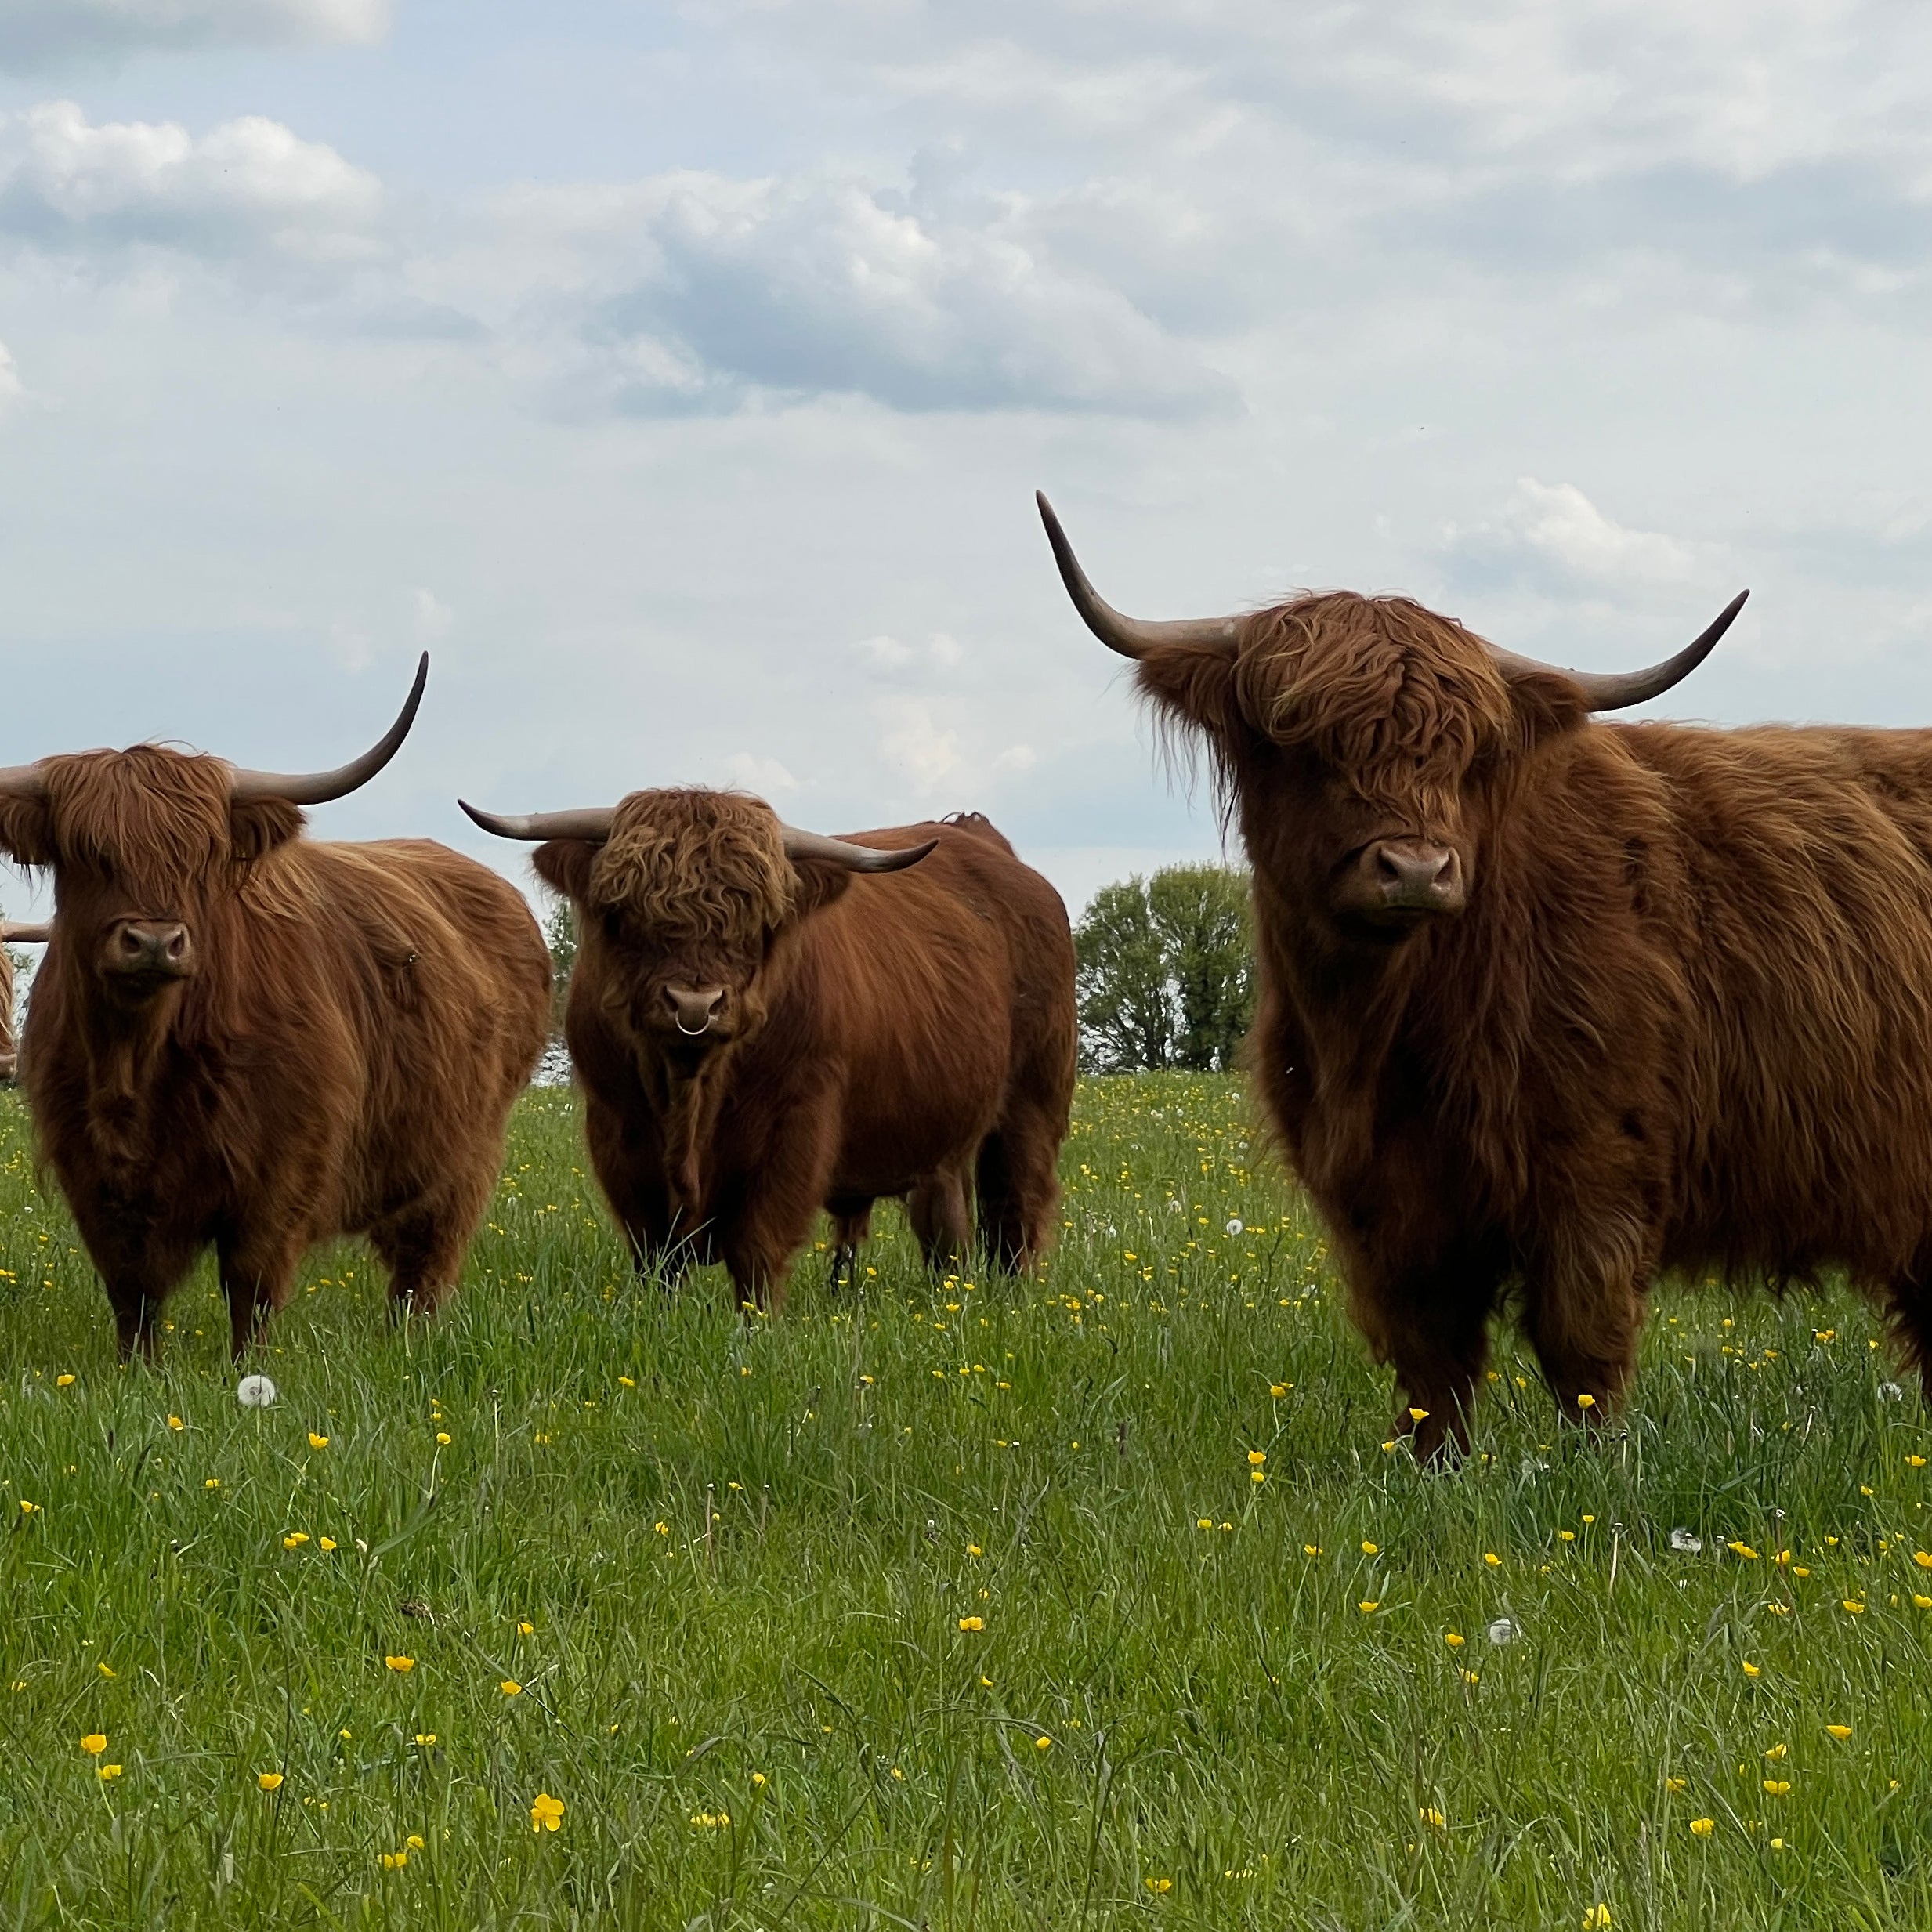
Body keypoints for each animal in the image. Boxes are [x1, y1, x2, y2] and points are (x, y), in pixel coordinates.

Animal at [0, 656, 550, 1358]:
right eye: (87, 852)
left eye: (203, 854)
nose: (153, 942)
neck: (137, 1062)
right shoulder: (94, 1180)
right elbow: (133, 1295)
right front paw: (137, 1371)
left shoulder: (279, 1173)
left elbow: (251, 1287)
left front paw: (249, 1371)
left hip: (465, 1156)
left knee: (424, 1267)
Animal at [459, 789, 1076, 1309]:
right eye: (627, 911)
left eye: (758, 921)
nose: (695, 1005)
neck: (691, 1090)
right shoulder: (616, 1129)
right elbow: (655, 1252)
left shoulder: (796, 1126)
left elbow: (757, 1246)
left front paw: (756, 1330)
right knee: (947, 1227)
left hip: (1033, 1101)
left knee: (1017, 1206)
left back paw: (1013, 1299)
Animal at [1033, 490, 1932, 1460]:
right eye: (1299, 741)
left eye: (1463, 753)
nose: (1417, 869)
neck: (1387, 1029)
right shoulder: (1386, 1212)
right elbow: (1433, 1367)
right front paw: (1436, 1469)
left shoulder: (1597, 1172)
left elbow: (1582, 1353)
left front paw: (1594, 1472)